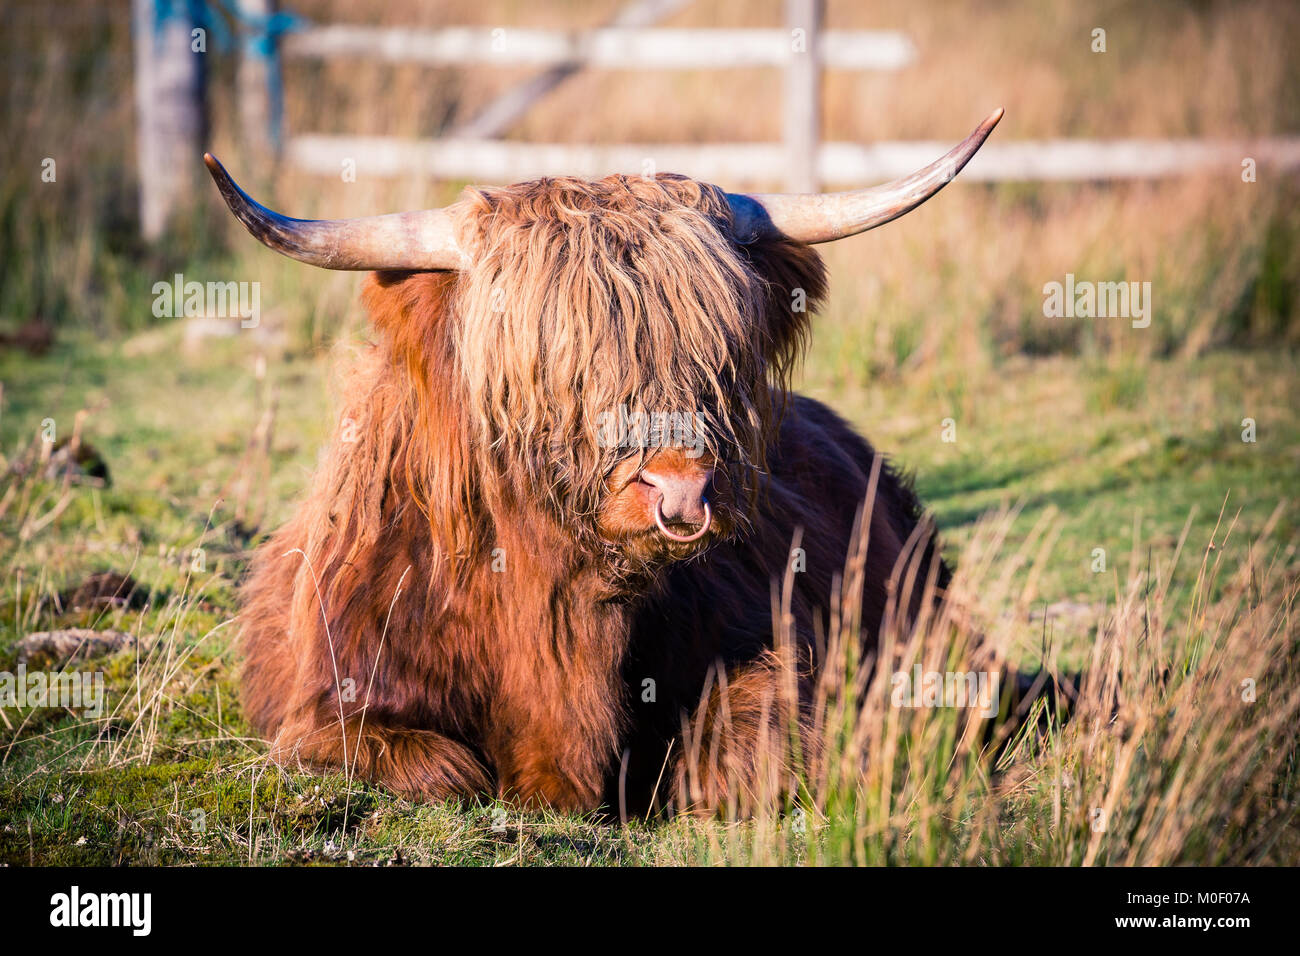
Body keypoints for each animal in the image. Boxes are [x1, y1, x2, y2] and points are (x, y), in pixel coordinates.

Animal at [206, 109, 1005, 816]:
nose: (682, 489)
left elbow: (748, 754)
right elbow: (442, 771)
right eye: (561, 368)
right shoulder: (326, 704)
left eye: (719, 357)